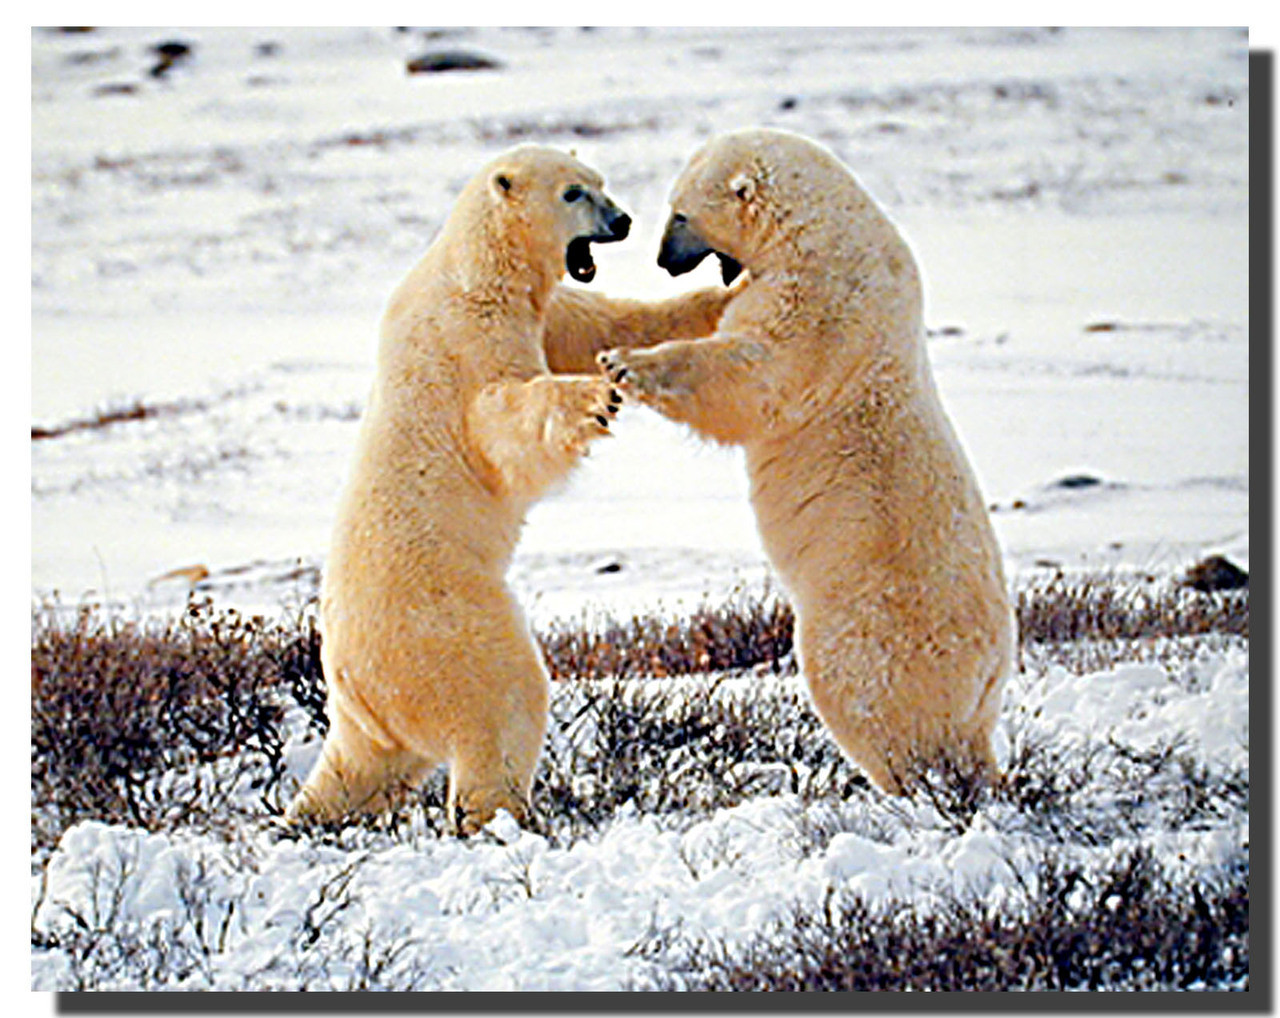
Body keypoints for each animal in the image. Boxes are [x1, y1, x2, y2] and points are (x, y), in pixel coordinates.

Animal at [286, 145, 739, 834]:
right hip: (446, 628)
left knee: (361, 771)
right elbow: (504, 422)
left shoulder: (541, 312)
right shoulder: (467, 341)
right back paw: (501, 815)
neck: (476, 273)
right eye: (573, 193)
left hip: (376, 722)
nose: (623, 220)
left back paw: (301, 816)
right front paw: (594, 397)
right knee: (504, 699)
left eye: (600, 182)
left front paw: (715, 297)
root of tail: (351, 685)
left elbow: (599, 321)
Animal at [599, 128, 1014, 795]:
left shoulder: (821, 302)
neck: (822, 230)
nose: (664, 260)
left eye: (681, 213)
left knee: (866, 700)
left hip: (870, 628)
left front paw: (626, 362)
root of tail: (985, 686)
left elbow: (751, 370)